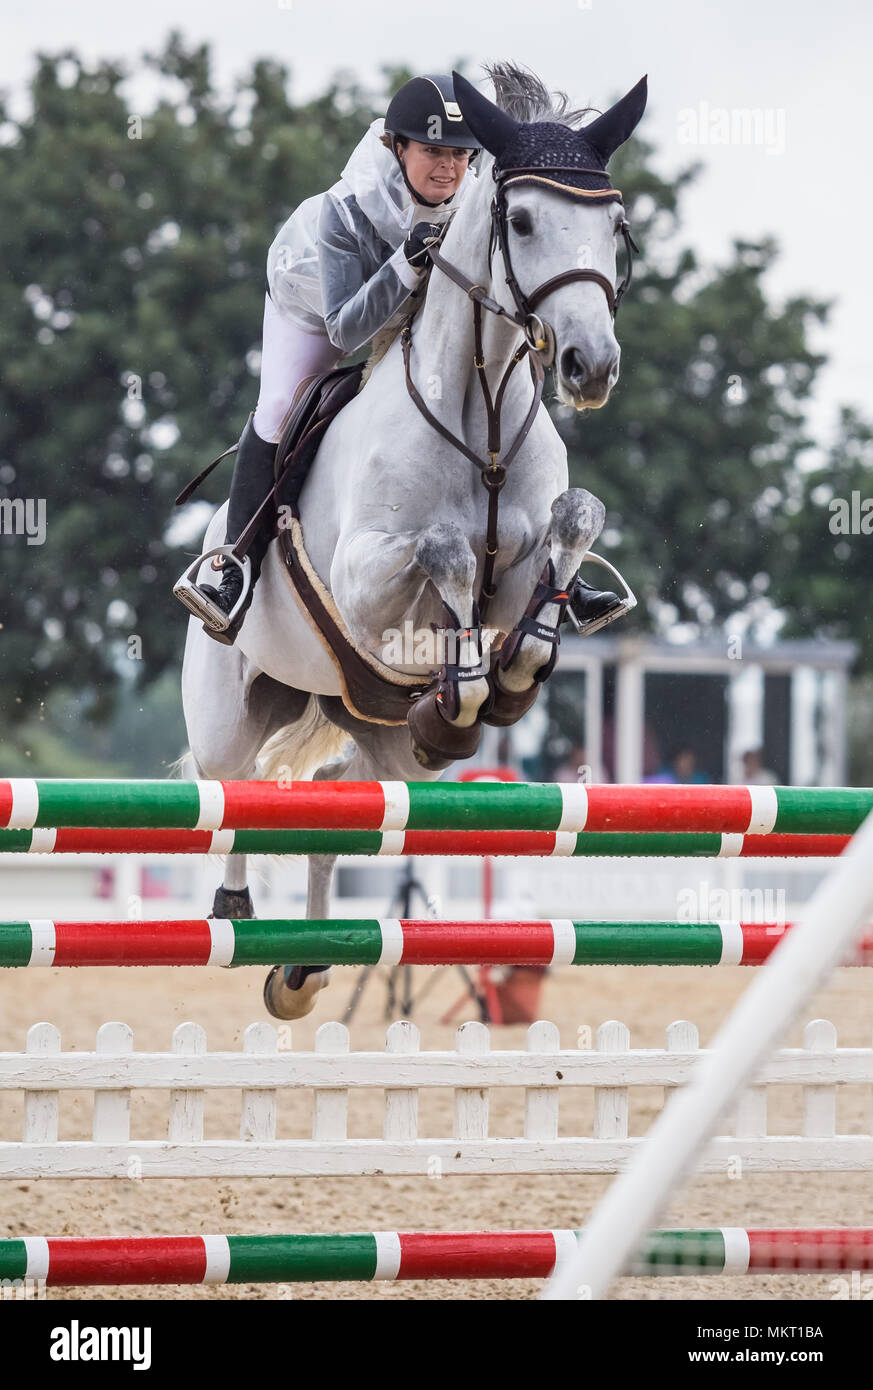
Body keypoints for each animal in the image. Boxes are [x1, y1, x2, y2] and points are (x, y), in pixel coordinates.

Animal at [180, 64, 646, 1019]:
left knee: (337, 813)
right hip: (226, 713)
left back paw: (304, 962)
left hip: (374, 734)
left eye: (613, 227)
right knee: (232, 796)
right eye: (520, 220)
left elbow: (572, 523)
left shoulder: (526, 566)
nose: (589, 368)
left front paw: (508, 673)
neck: (481, 419)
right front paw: (470, 674)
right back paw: (238, 911)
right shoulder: (365, 584)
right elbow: (445, 552)